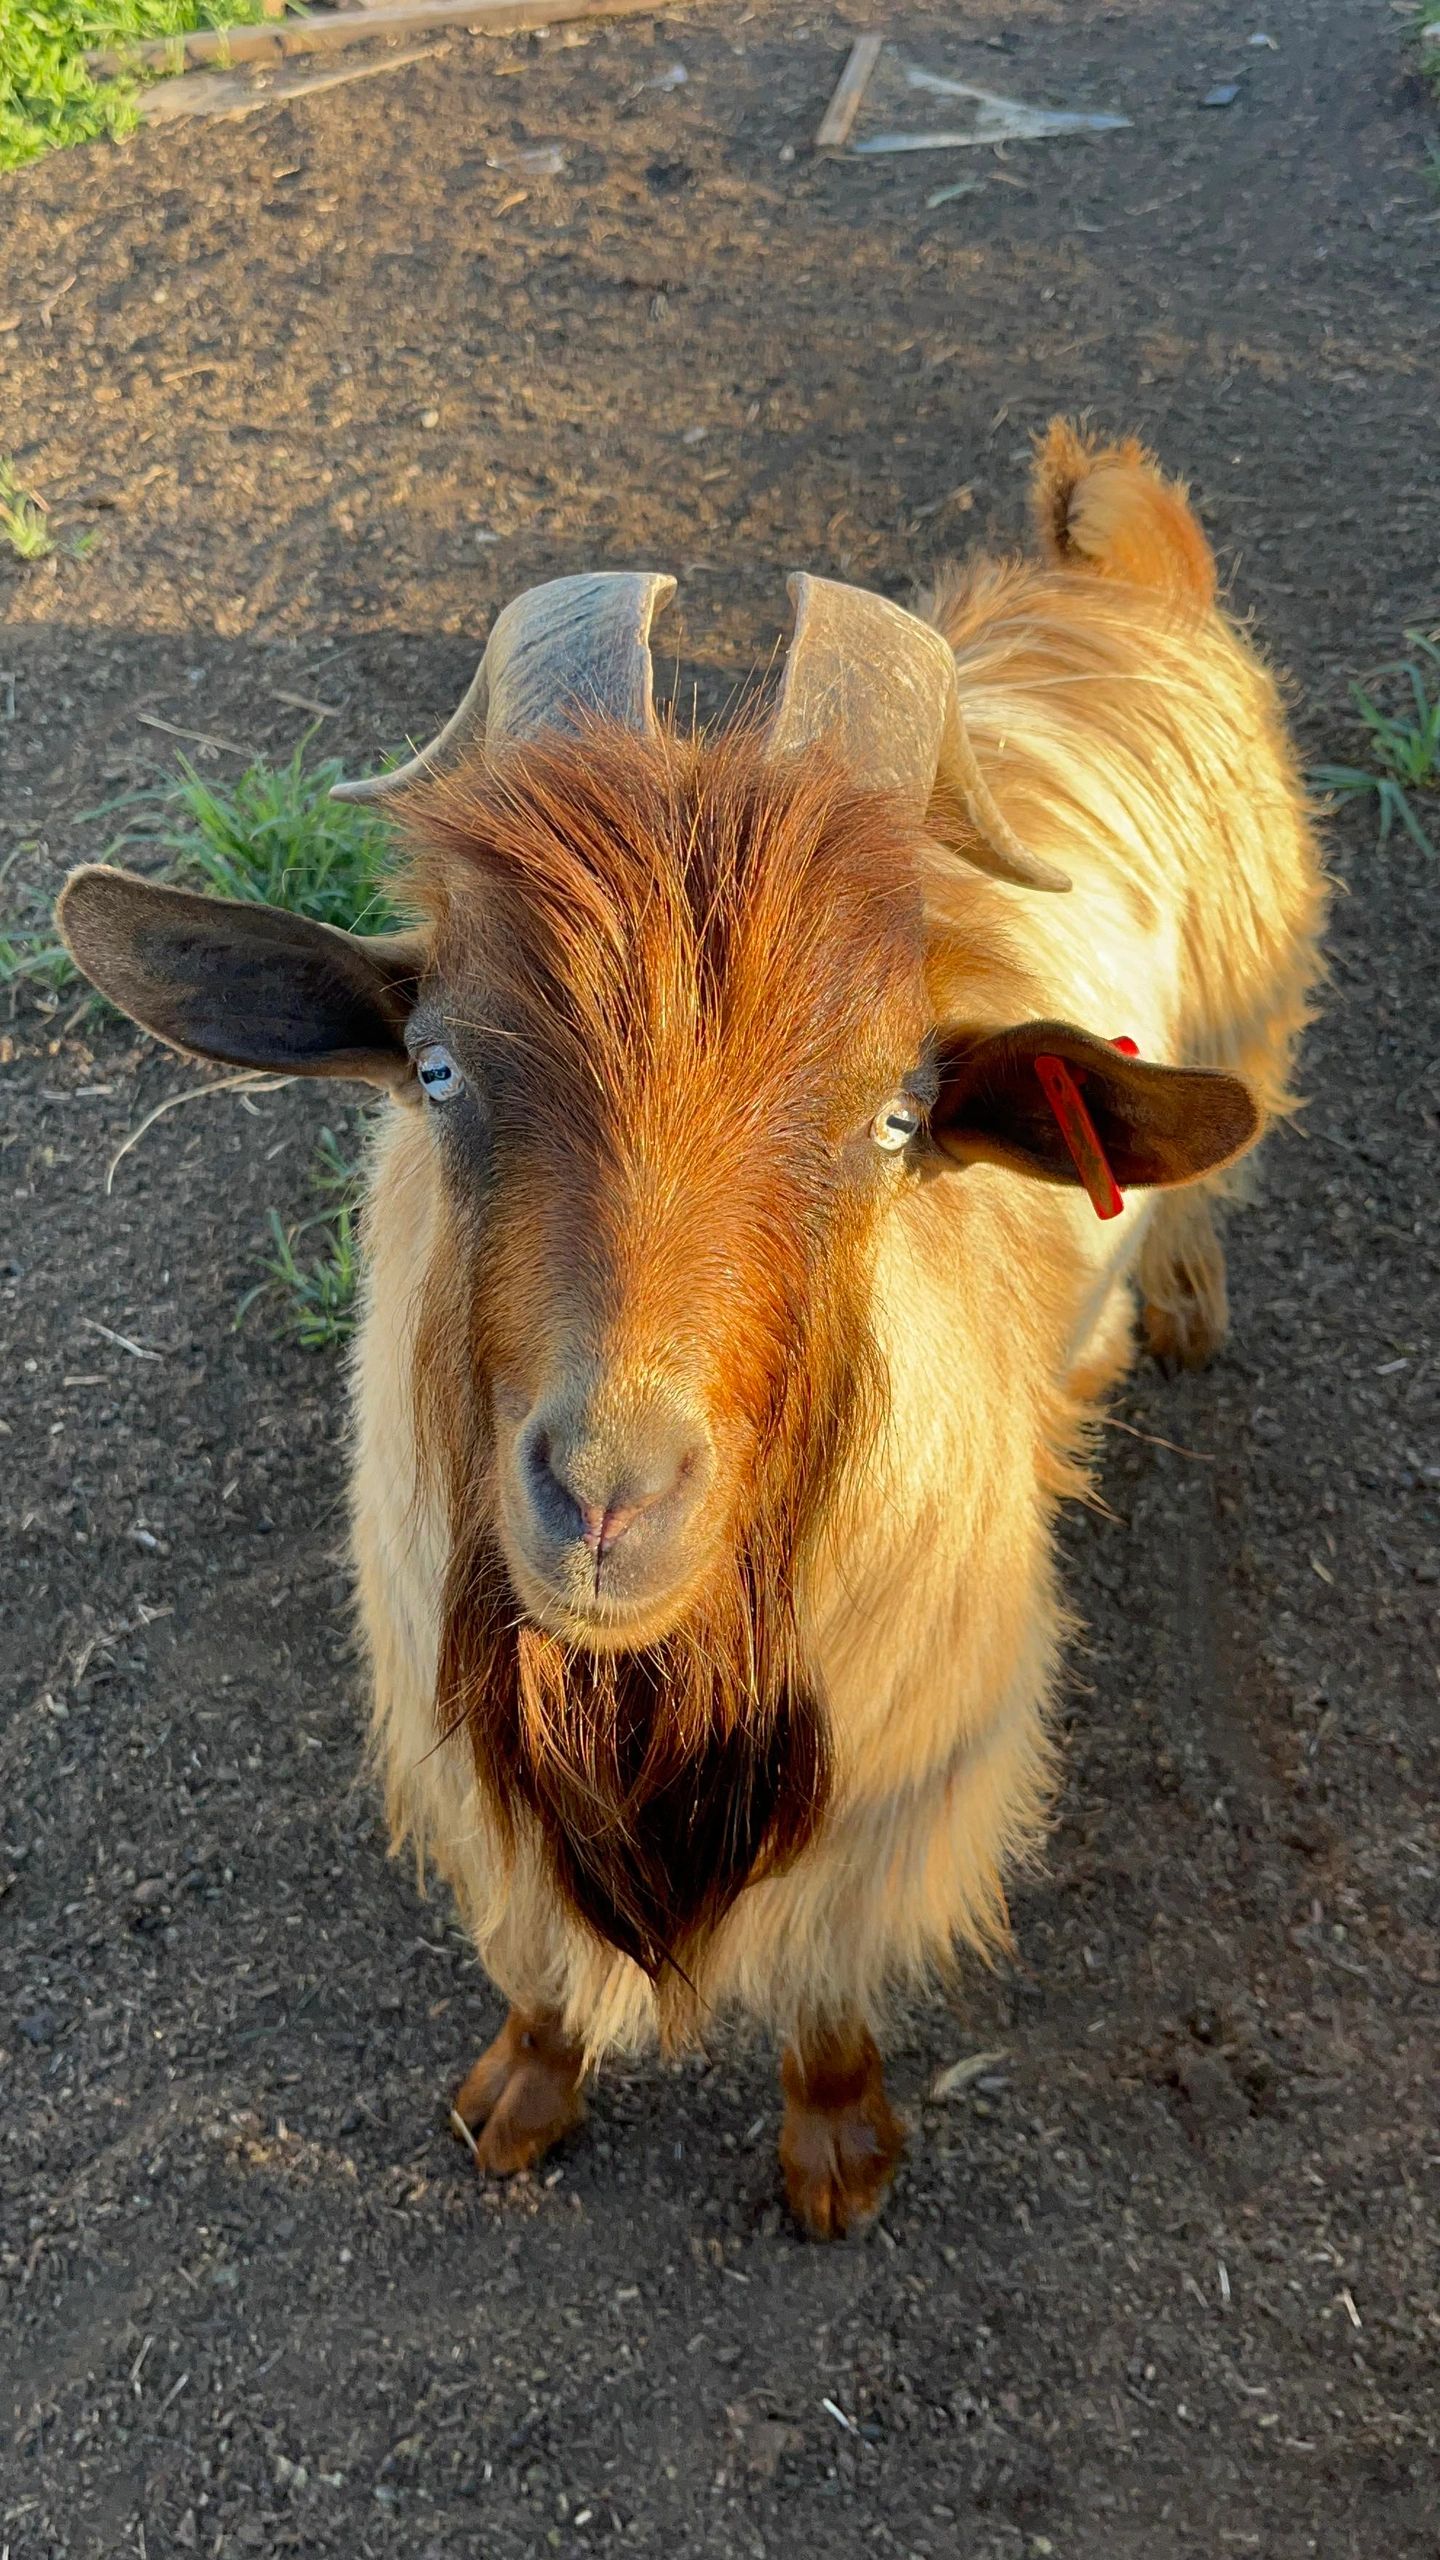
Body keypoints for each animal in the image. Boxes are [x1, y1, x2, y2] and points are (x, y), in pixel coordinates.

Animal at [59, 424, 1325, 2238]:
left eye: (895, 1117)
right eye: (438, 1070)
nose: (606, 1497)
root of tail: (1110, 562)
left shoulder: (900, 1759)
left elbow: (830, 1983)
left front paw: (838, 2155)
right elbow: (532, 1963)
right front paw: (518, 2095)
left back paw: (1182, 1312)